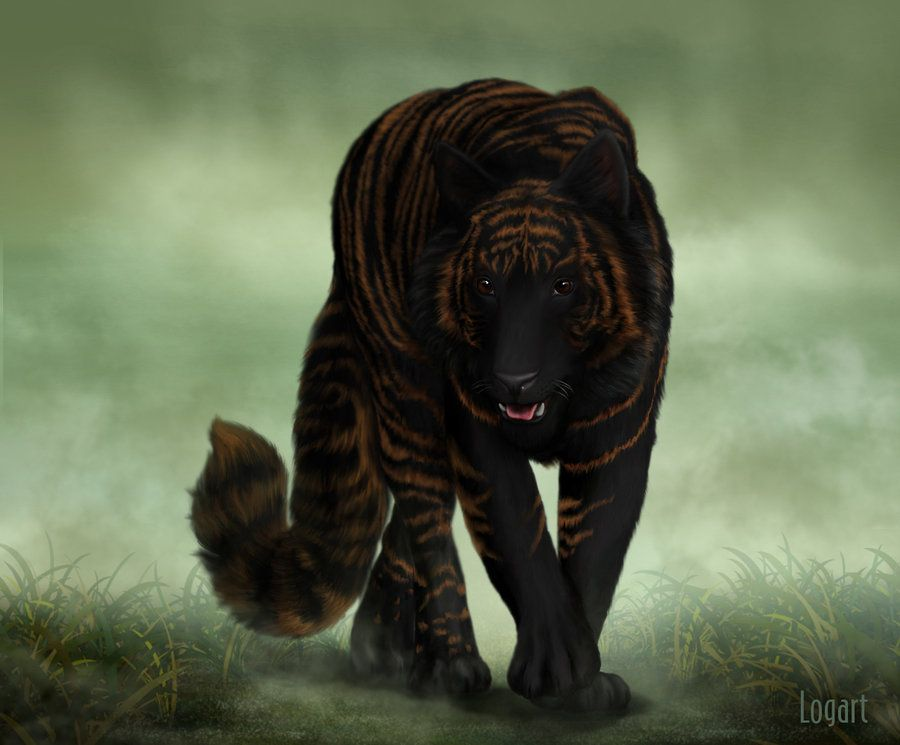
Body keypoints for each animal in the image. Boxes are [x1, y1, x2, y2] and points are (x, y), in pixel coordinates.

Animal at [190, 77, 673, 711]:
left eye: (563, 285)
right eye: (485, 284)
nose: (514, 381)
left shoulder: (617, 437)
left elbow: (595, 556)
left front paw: (585, 682)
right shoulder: (479, 437)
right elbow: (521, 540)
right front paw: (555, 670)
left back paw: (382, 650)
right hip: (407, 393)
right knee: (427, 522)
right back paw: (447, 665)